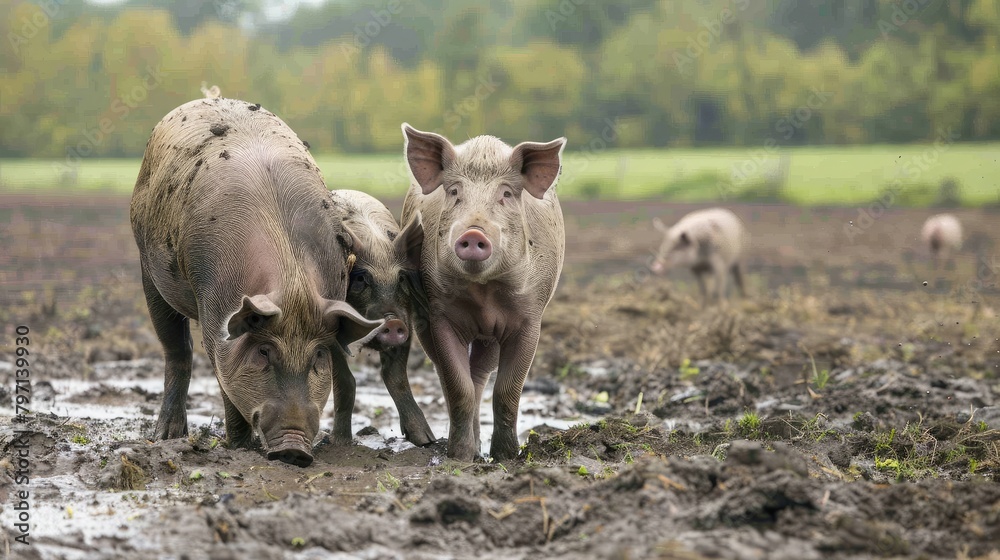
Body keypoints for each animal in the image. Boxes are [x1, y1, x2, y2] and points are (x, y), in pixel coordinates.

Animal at [130, 97, 383, 467]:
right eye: (264, 351)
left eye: (318, 356)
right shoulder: (215, 323)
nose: (294, 450)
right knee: (177, 349)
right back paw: (167, 436)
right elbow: (226, 385)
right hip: (147, 269)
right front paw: (239, 448)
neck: (292, 282)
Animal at [328, 189, 436, 446]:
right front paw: (340, 442)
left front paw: (426, 440)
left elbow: (397, 378)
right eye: (360, 278)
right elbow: (345, 381)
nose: (392, 322)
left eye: (401, 278)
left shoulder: (408, 323)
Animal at [398, 123, 567, 462]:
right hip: (423, 321)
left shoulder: (530, 319)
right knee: (451, 376)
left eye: (506, 194)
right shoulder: (439, 315)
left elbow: (508, 390)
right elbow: (457, 386)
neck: (484, 294)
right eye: (454, 192)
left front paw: (506, 457)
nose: (474, 232)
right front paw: (459, 457)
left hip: (490, 338)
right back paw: (472, 451)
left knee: (480, 373)